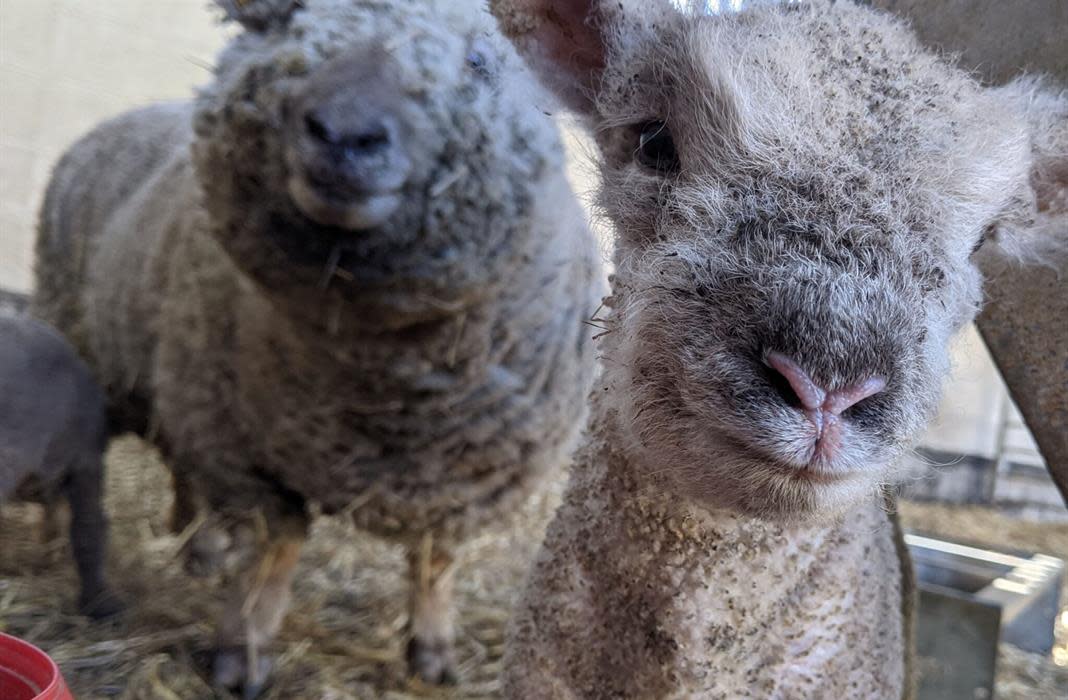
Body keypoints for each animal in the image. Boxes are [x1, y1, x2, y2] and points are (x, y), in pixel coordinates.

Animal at [32, 0, 600, 691]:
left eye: (478, 61)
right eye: (295, 37)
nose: (344, 135)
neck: (392, 390)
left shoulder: (467, 478)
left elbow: (435, 561)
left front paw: (433, 650)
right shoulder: (249, 460)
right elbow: (272, 555)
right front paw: (243, 653)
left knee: (179, 466)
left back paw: (196, 544)